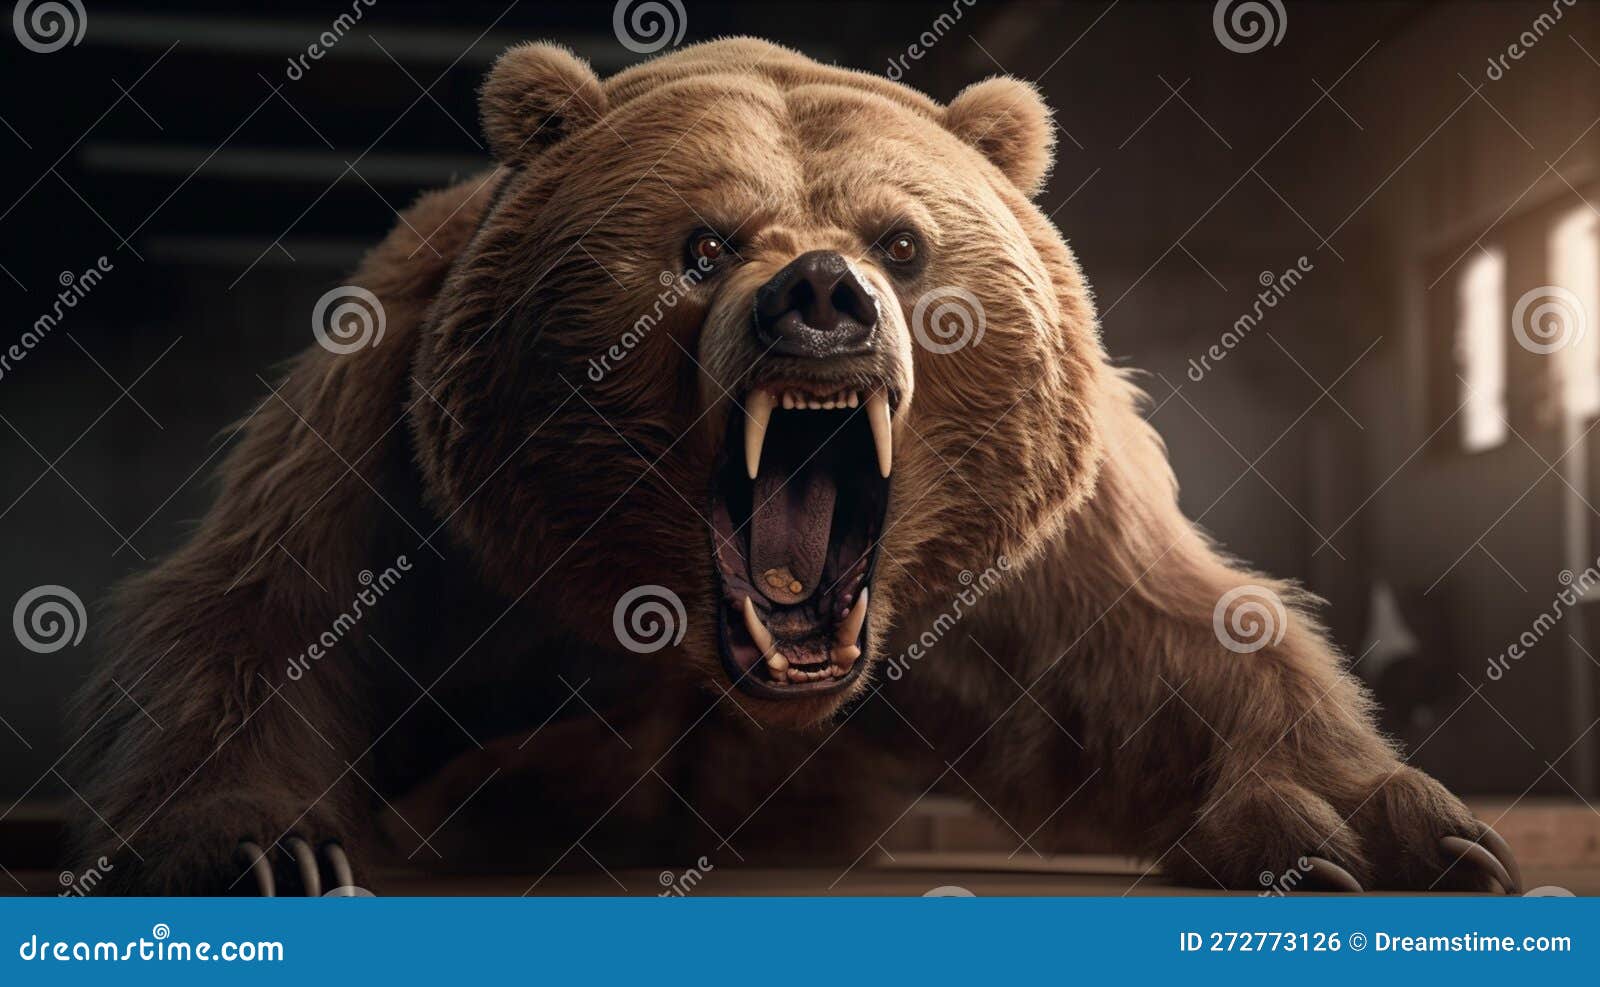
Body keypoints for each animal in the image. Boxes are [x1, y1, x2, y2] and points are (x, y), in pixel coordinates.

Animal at [65, 37, 1521, 895]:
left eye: (903, 240)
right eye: (702, 242)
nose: (821, 292)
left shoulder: (1019, 566)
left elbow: (1176, 652)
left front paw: (1381, 826)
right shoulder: (410, 473)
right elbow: (276, 613)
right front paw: (258, 841)